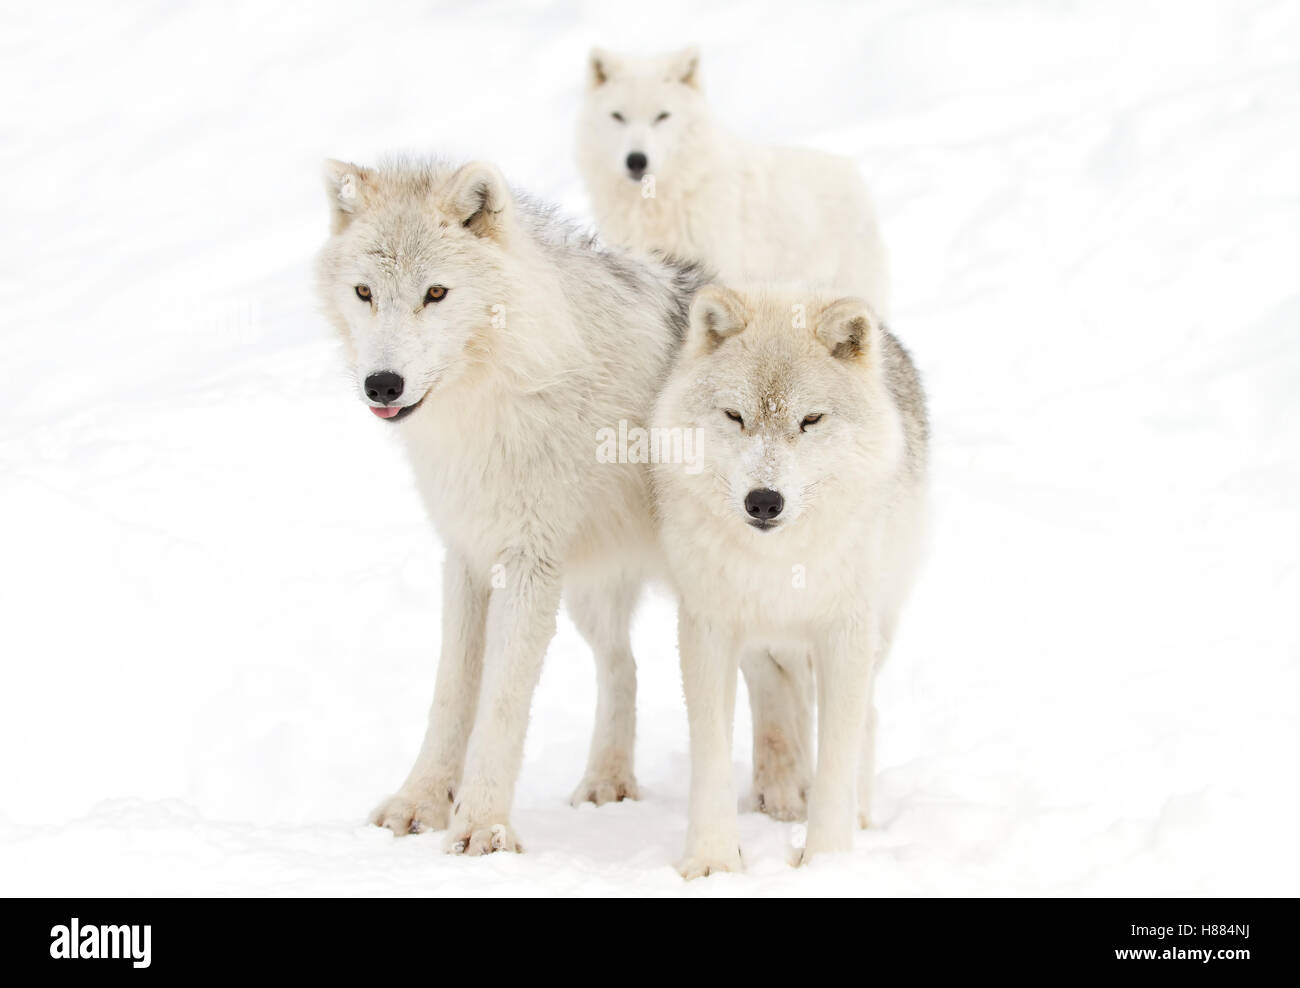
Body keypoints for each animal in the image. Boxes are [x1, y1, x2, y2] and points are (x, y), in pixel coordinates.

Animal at [316, 157, 708, 854]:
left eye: (436, 294)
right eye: (364, 292)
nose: (382, 385)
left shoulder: (529, 562)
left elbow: (501, 701)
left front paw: (481, 828)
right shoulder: (469, 554)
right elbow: (451, 693)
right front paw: (418, 804)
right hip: (592, 595)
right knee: (624, 665)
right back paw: (607, 782)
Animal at [651, 285, 928, 876]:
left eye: (811, 419)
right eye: (735, 415)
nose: (763, 501)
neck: (779, 563)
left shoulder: (844, 633)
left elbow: (837, 757)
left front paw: (827, 861)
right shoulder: (707, 627)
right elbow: (711, 753)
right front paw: (713, 860)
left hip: (876, 629)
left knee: (867, 718)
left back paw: (857, 817)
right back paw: (779, 796)